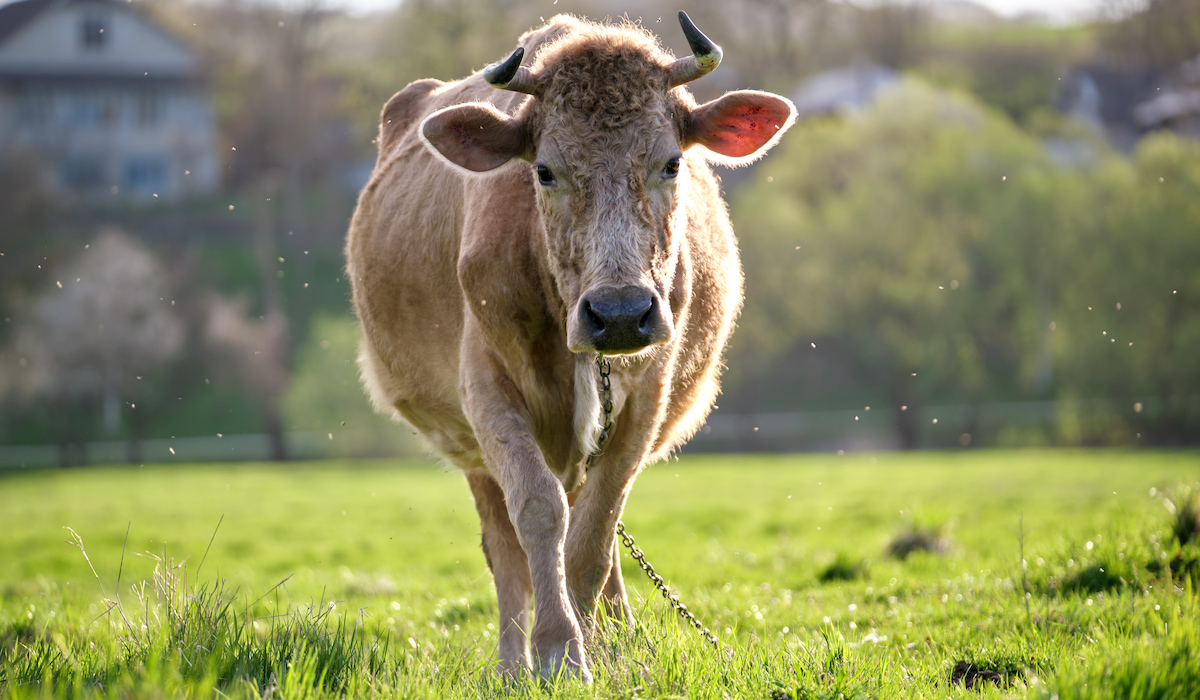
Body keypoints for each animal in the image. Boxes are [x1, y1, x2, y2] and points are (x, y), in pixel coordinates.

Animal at [345, 12, 795, 681]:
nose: (620, 315)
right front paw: (556, 650)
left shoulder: (647, 397)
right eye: (544, 171)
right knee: (505, 547)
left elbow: (594, 535)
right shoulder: (487, 390)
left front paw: (599, 654)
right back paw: (513, 665)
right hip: (473, 448)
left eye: (671, 164)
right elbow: (539, 514)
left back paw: (618, 640)